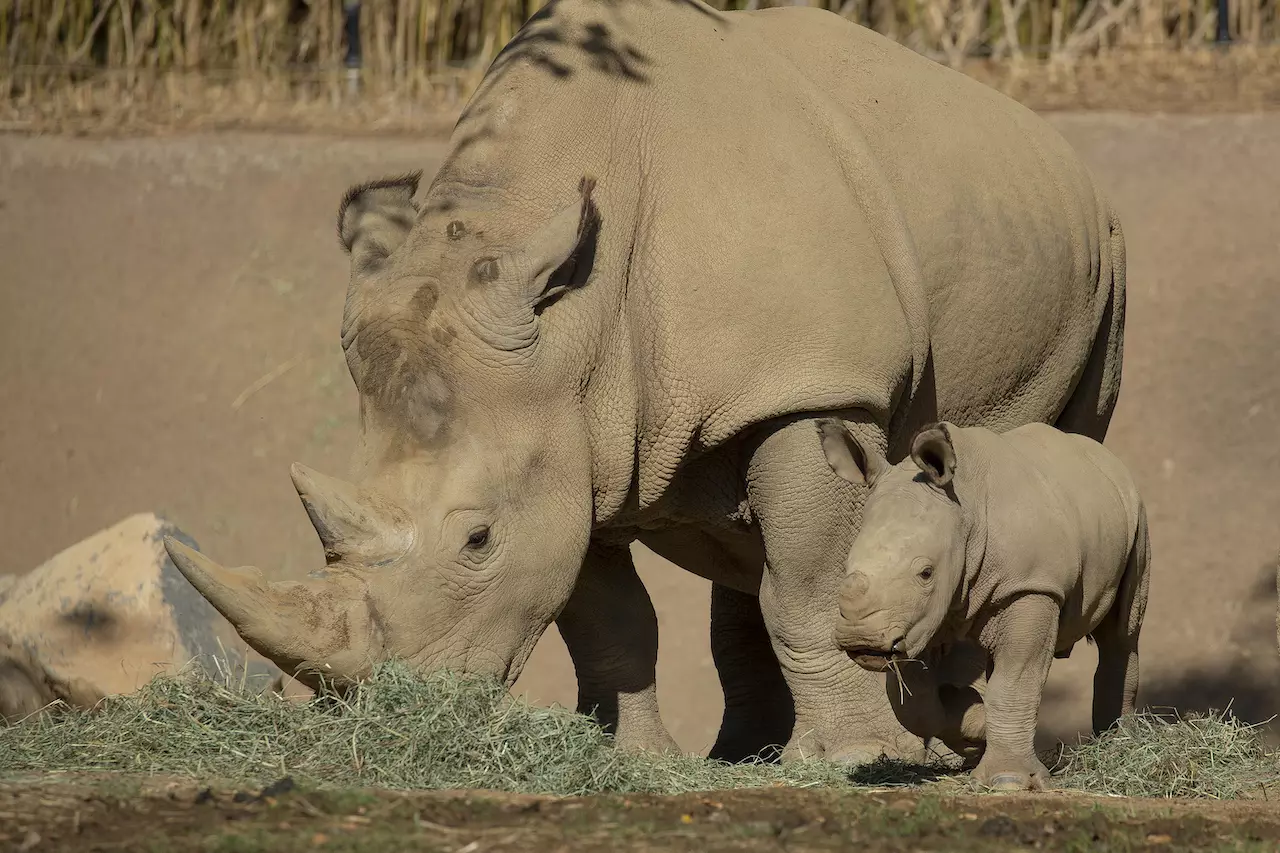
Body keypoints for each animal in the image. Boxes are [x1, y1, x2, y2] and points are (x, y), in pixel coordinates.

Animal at [819, 414, 1152, 788]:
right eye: (846, 567)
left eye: (926, 573)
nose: (860, 638)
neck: (965, 510)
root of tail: (1107, 459)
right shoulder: (919, 617)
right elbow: (913, 702)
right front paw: (973, 720)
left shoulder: (1031, 585)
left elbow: (1015, 679)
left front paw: (1008, 780)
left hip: (1136, 515)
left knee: (1121, 634)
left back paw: (1118, 743)